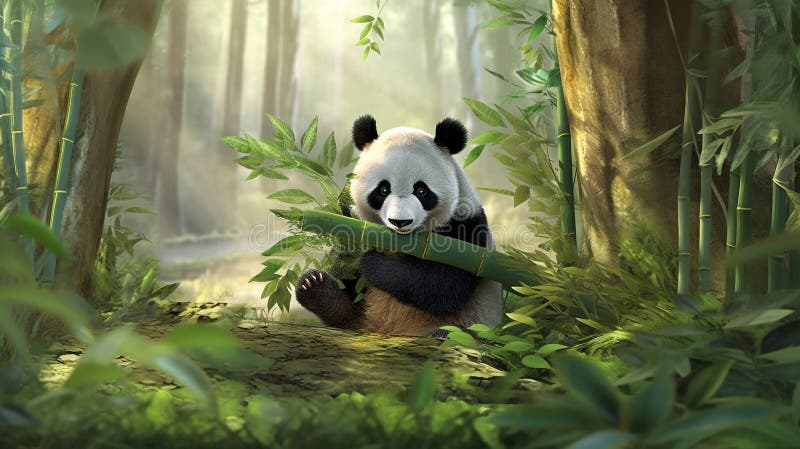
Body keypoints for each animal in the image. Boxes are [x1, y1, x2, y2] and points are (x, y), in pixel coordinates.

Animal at [295, 114, 502, 336]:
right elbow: (344, 261)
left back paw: (441, 334)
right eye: (383, 189)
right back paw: (315, 288)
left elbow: (442, 285)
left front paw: (371, 262)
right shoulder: (353, 222)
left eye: (421, 191)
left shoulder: (468, 230)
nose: (400, 222)